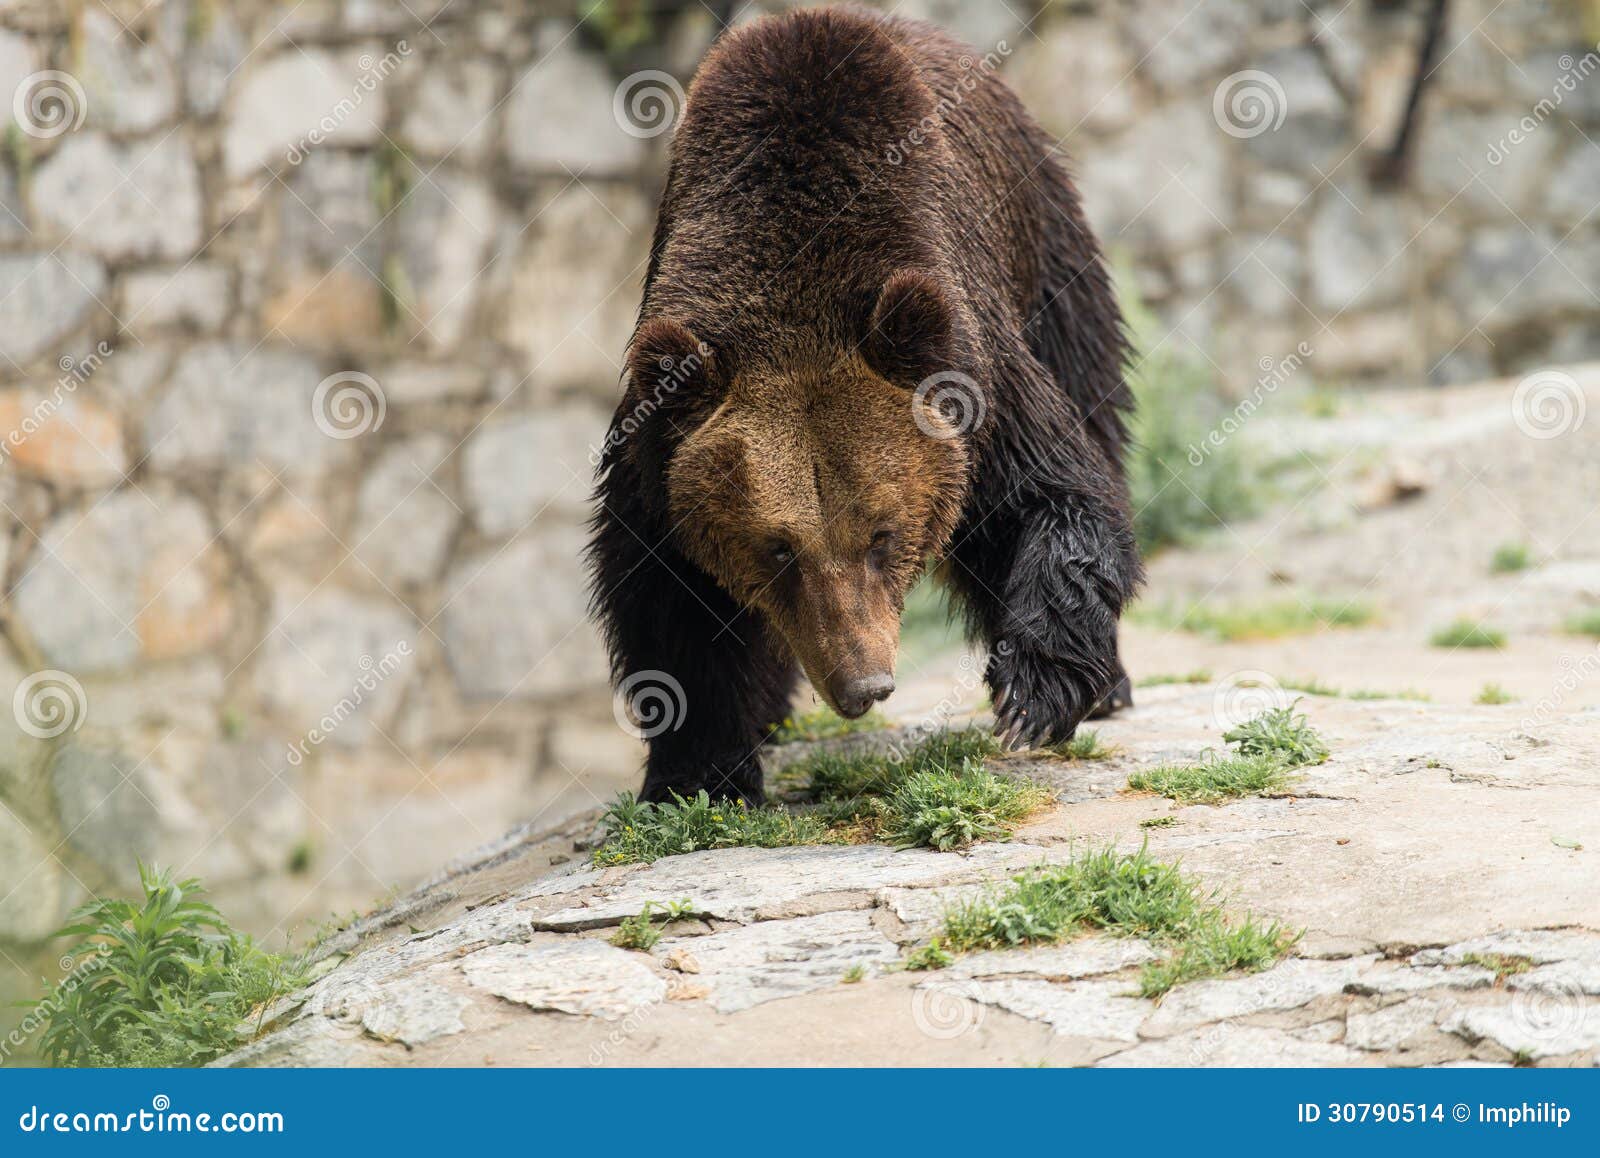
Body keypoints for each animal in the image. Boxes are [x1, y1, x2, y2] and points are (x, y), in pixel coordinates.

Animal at [588, 6, 1141, 804]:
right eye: (777, 548)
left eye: (883, 535)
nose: (865, 685)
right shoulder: (659, 443)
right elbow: (670, 596)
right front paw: (701, 773)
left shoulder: (971, 373)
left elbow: (1051, 492)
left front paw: (1035, 694)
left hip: (1048, 256)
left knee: (1097, 403)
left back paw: (1111, 684)